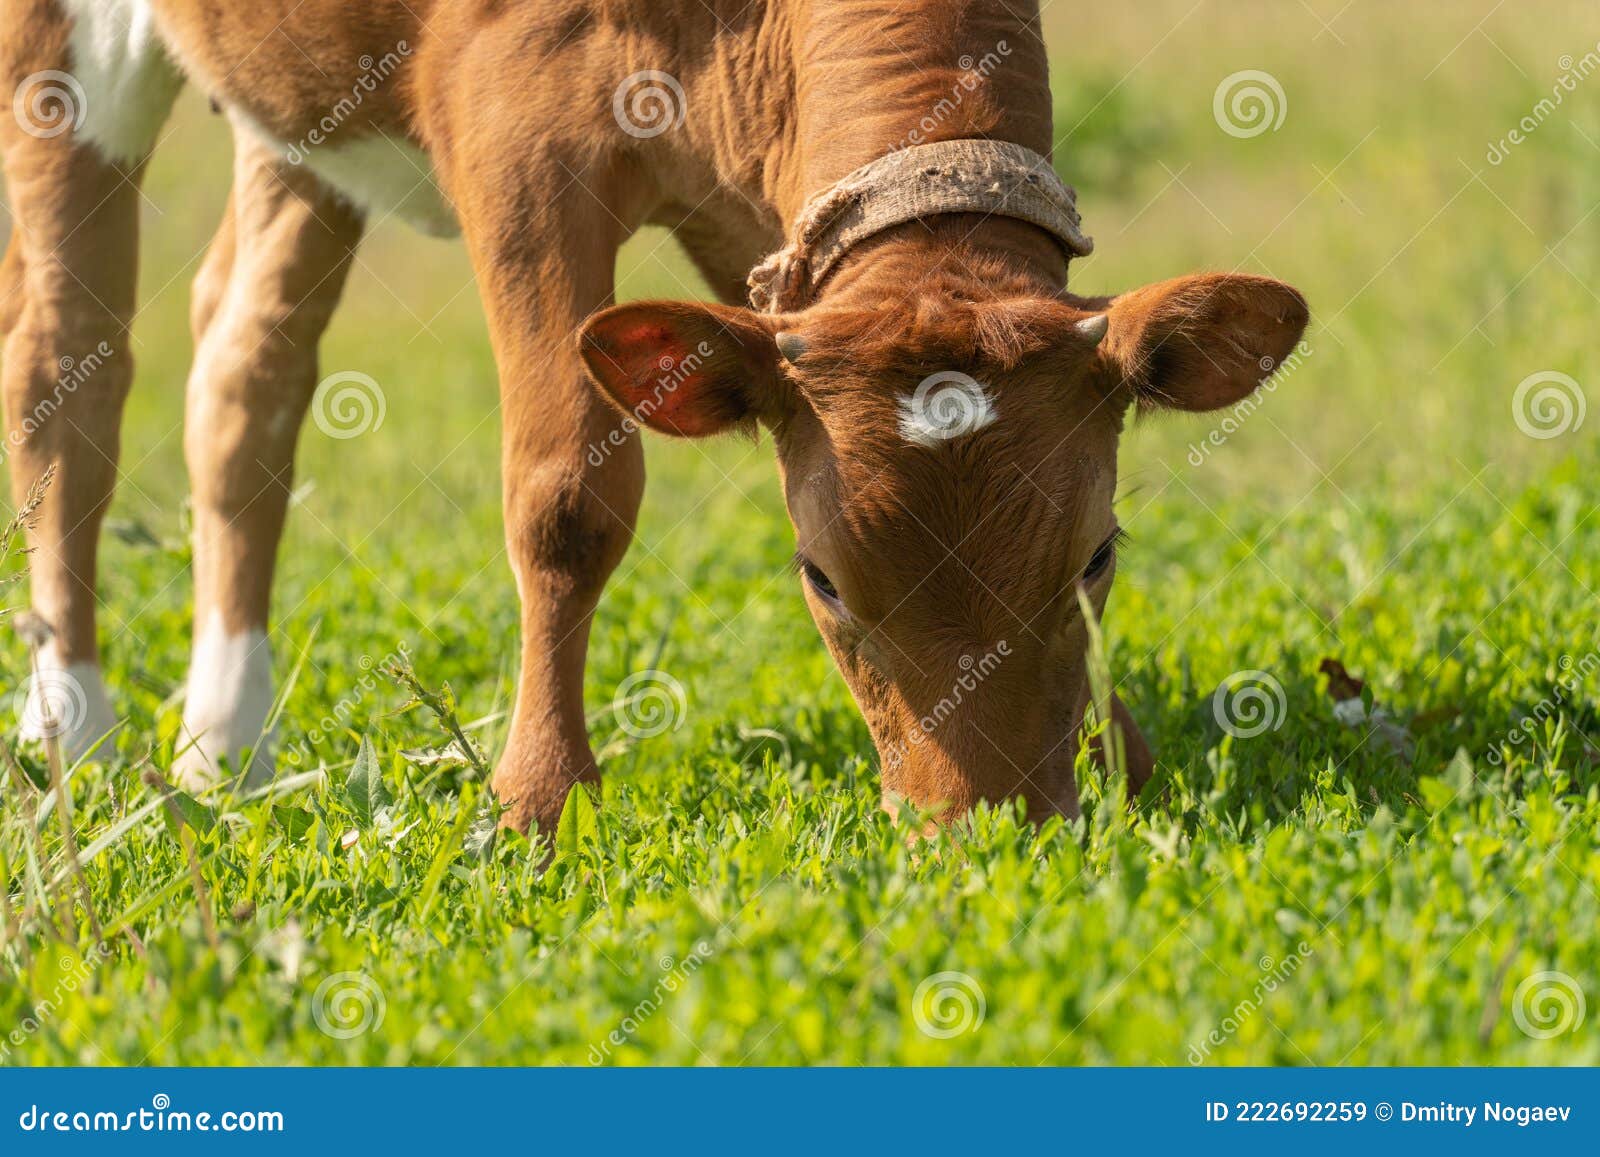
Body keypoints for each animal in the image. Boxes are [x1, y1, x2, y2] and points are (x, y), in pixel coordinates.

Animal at [0, 1, 1308, 833]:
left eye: (1097, 556)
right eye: (820, 578)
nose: (987, 826)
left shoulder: (777, 221)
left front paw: (1120, 752)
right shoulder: (517, 126)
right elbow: (569, 494)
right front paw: (535, 801)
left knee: (245, 364)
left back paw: (224, 745)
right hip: (64, 59)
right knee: (65, 371)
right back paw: (78, 739)